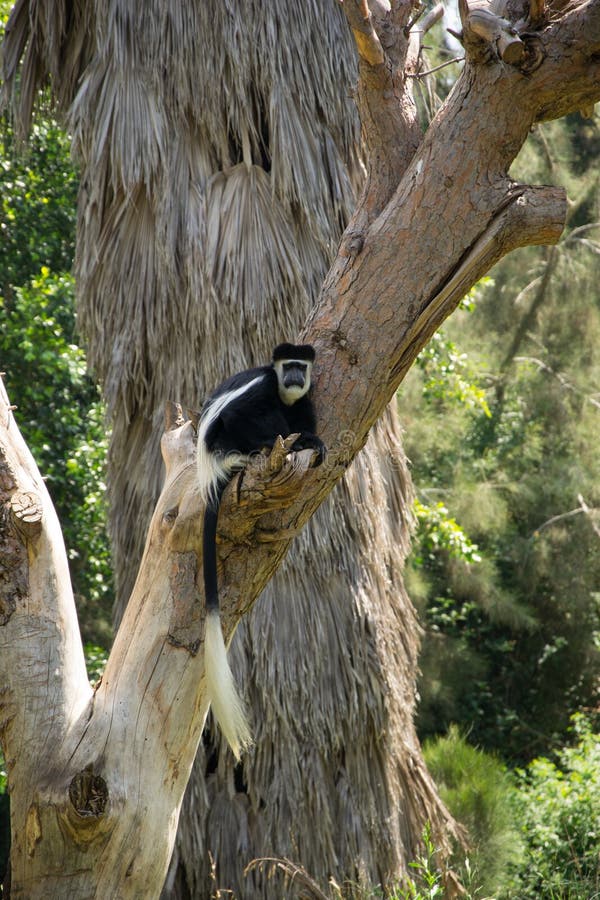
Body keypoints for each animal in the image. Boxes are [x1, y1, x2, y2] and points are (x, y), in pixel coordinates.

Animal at [197, 343, 325, 758]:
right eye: (288, 366)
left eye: (302, 367)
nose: (295, 377)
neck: (285, 391)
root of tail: (210, 468)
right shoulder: (266, 385)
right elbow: (240, 413)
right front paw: (290, 443)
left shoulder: (305, 399)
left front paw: (310, 440)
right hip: (226, 442)